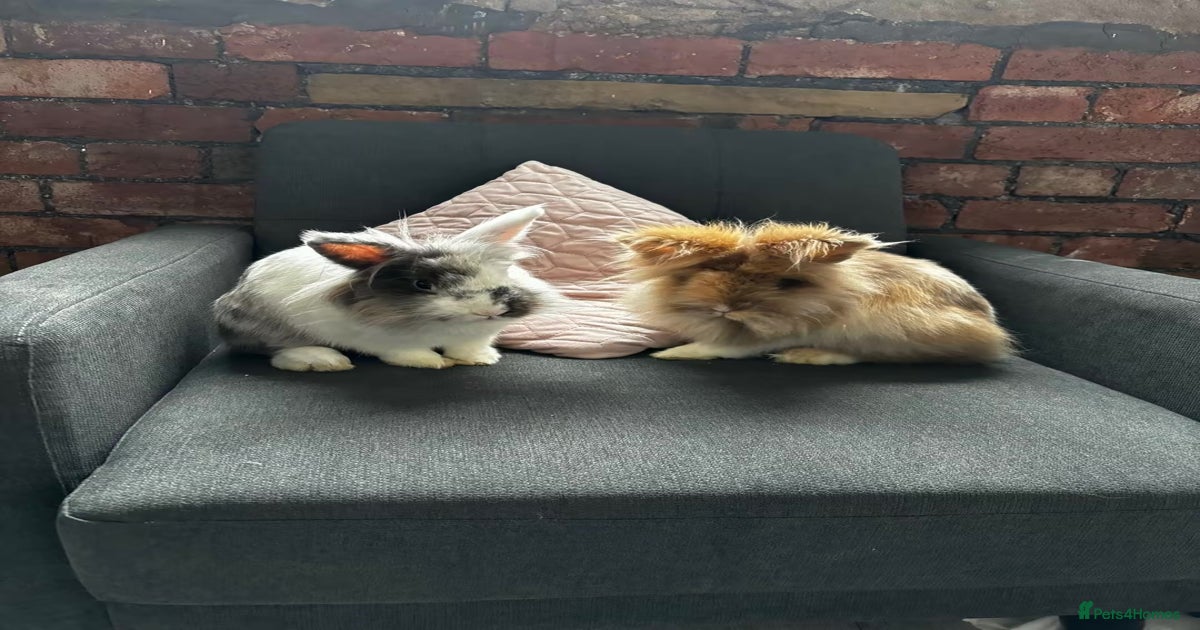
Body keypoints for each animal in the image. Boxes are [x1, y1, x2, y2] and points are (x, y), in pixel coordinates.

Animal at [213, 205, 557, 372]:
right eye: (423, 284)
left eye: (499, 274)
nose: (488, 310)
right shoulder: (378, 338)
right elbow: (406, 352)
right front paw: (429, 362)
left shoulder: (472, 336)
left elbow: (468, 348)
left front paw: (481, 359)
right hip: (271, 328)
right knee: (274, 350)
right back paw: (323, 361)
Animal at [617, 221, 1014, 365]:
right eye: (697, 274)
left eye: (787, 284)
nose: (727, 307)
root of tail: (990, 324)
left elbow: (731, 348)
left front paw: (672, 353)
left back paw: (804, 357)